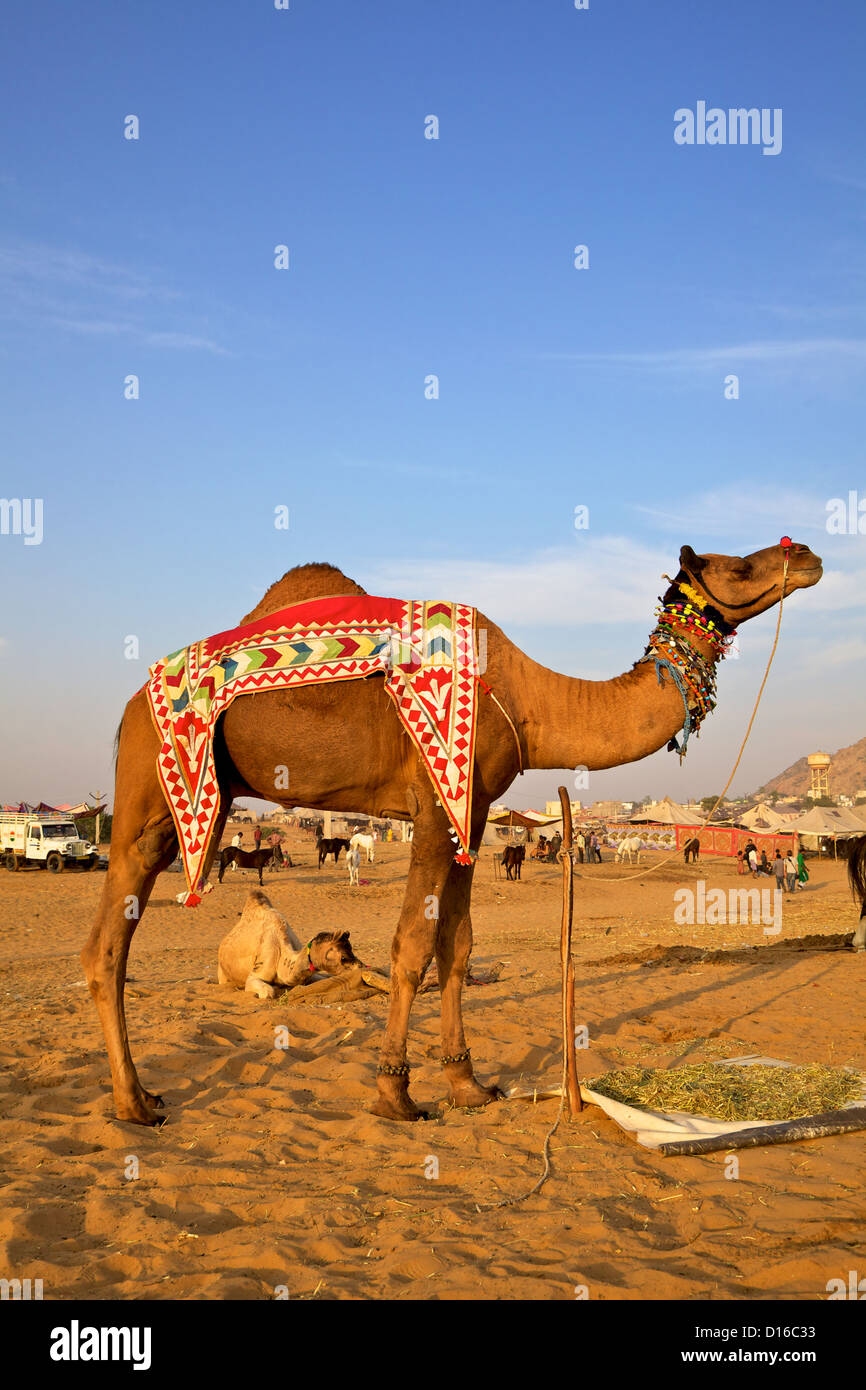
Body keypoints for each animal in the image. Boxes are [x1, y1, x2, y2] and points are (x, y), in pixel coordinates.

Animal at [81, 541, 822, 1125]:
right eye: (738, 564)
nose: (807, 554)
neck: (527, 698)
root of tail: (124, 711)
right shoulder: (436, 805)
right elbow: (412, 946)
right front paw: (396, 1095)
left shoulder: (476, 808)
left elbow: (458, 947)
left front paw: (468, 1083)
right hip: (152, 791)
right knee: (107, 944)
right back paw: (135, 1102)